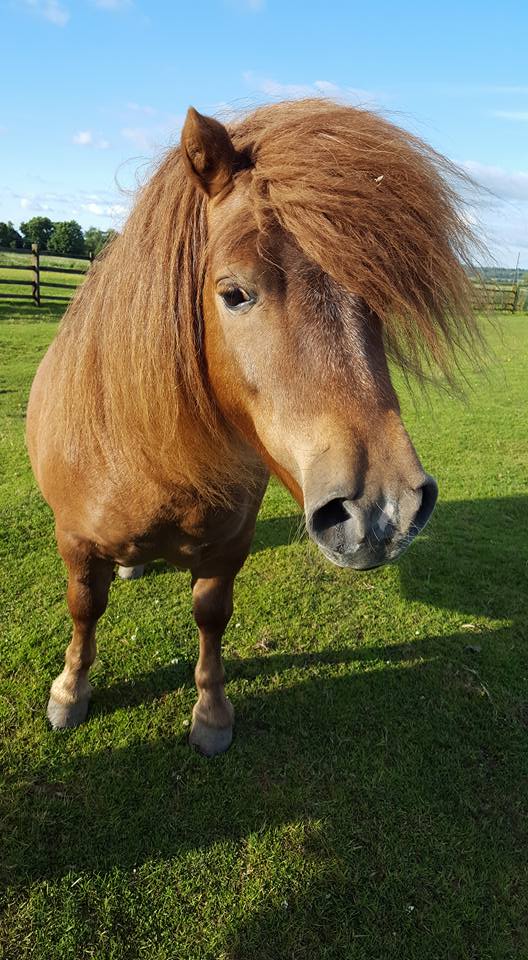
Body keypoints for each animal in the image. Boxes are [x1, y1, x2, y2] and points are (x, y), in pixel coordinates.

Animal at [26, 99, 479, 756]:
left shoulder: (227, 549)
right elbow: (85, 608)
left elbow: (212, 617)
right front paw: (69, 692)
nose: (383, 511)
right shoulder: (76, 543)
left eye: (376, 296)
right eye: (235, 293)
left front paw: (212, 715)